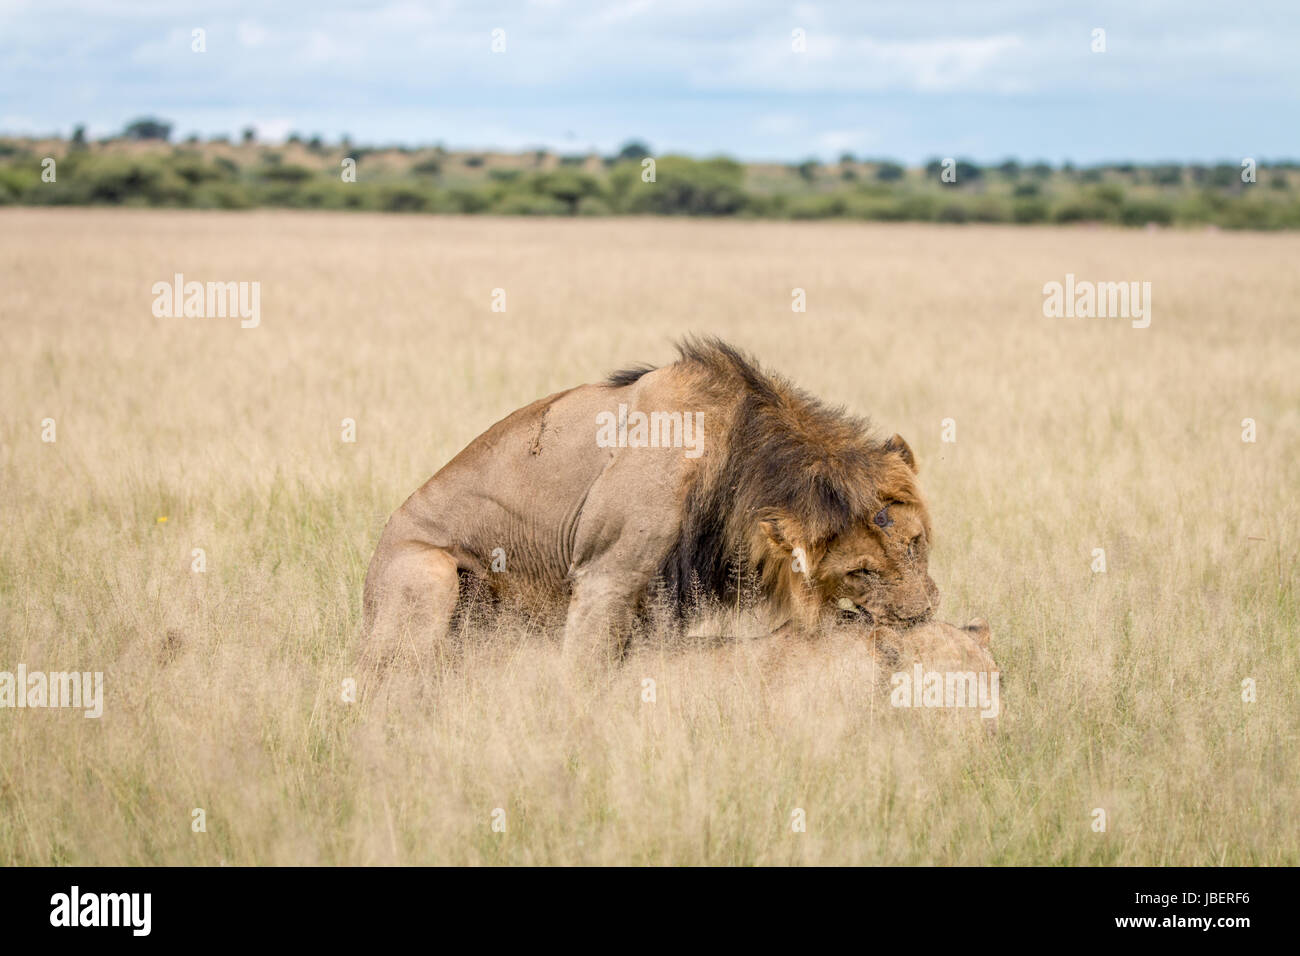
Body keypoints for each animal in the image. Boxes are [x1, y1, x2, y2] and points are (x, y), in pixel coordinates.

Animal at [362, 337, 939, 667]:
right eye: (861, 571)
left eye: (915, 543)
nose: (924, 616)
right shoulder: (606, 574)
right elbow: (583, 669)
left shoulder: (666, 598)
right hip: (426, 577)